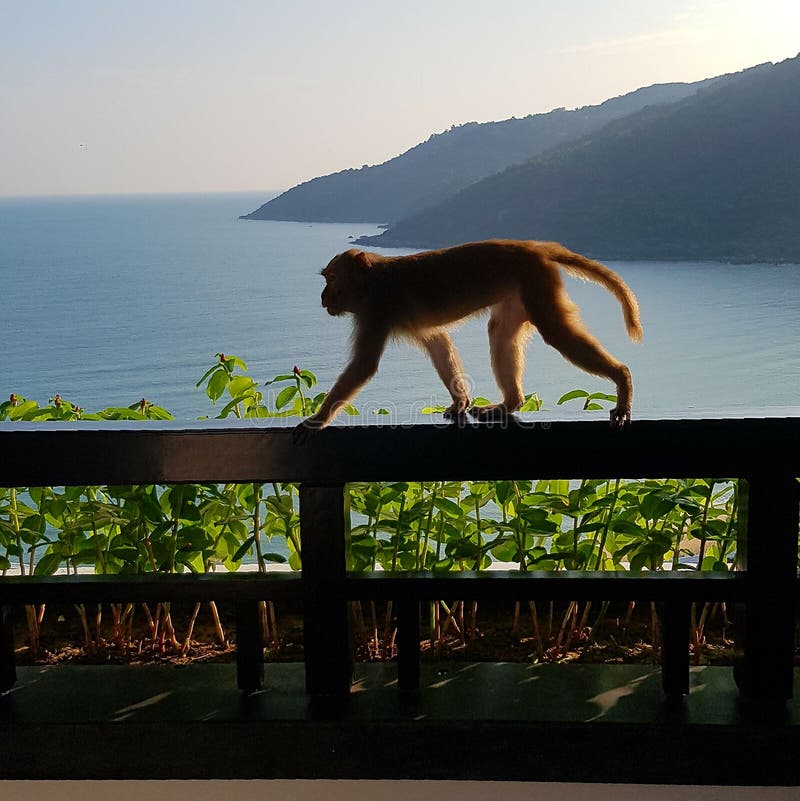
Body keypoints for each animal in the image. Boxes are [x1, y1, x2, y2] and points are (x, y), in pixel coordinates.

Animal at [294, 239, 642, 437]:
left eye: (332, 278)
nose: (323, 296)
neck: (372, 281)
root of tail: (536, 247)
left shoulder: (376, 310)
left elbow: (364, 364)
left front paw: (318, 419)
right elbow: (438, 344)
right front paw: (460, 401)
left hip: (537, 282)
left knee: (556, 332)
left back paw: (622, 378)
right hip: (521, 290)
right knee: (501, 333)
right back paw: (509, 404)